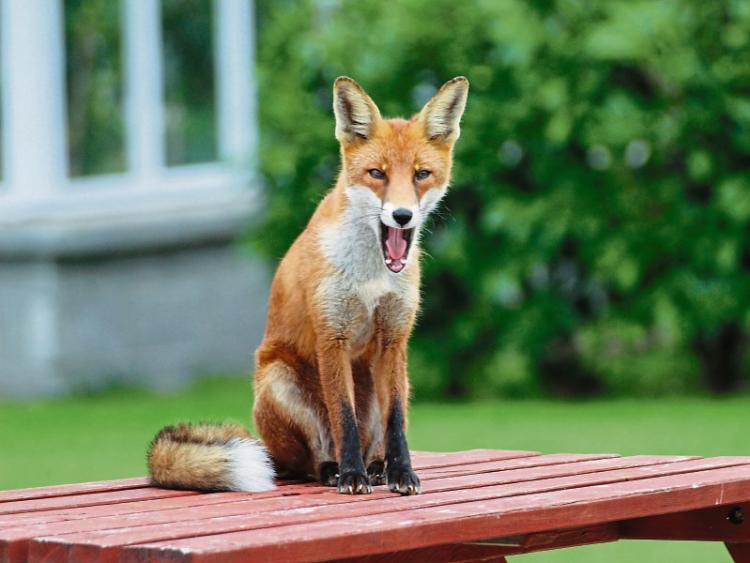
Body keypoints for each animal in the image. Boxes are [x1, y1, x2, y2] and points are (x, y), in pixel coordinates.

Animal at [147, 76, 469, 495]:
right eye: (377, 174)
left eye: (421, 174)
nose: (402, 216)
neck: (370, 278)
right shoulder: (332, 337)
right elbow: (343, 417)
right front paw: (351, 476)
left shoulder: (394, 340)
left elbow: (396, 422)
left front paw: (401, 473)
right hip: (278, 380)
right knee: (308, 461)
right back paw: (335, 470)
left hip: (387, 379)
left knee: (375, 438)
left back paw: (377, 467)